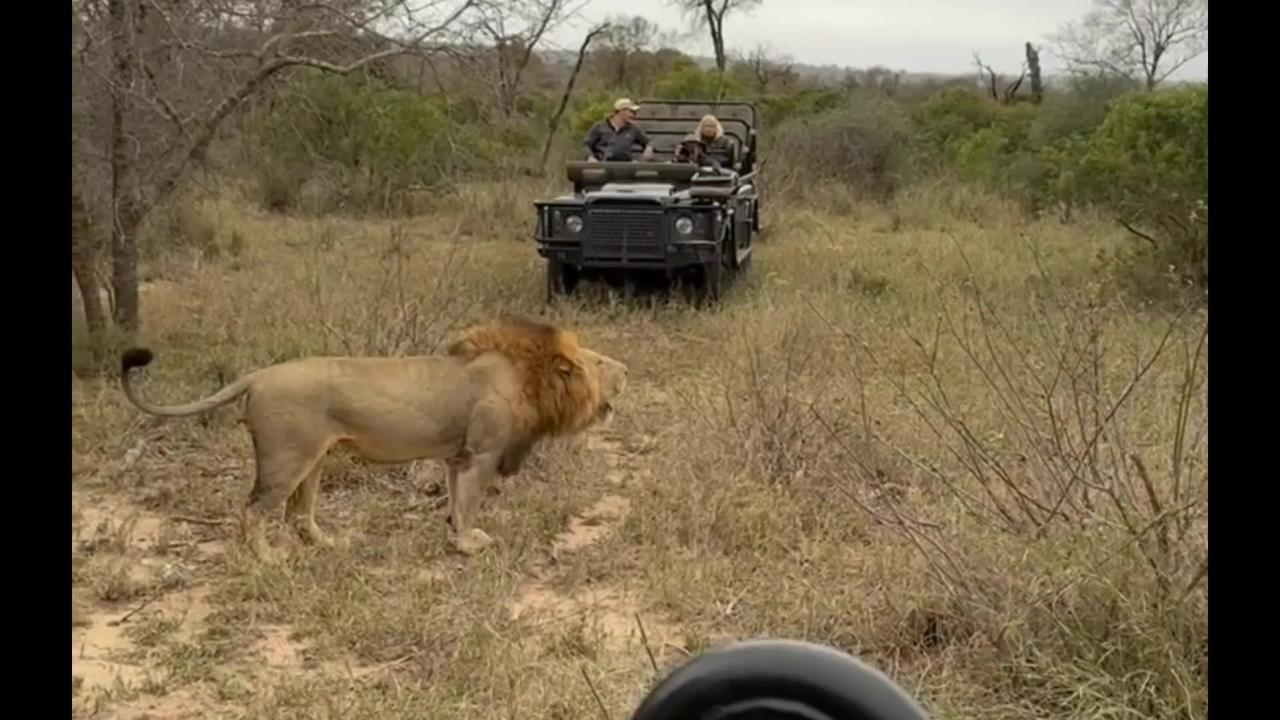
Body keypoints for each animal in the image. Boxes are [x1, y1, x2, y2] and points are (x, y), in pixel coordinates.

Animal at [119, 318, 628, 560]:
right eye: (600, 363)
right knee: (252, 512)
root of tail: (257, 375)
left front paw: (453, 533)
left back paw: (327, 545)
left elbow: (453, 498)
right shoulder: (480, 455)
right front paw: (469, 543)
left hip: (314, 460)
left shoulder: (456, 458)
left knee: (298, 515)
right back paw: (267, 559)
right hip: (286, 460)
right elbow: (469, 504)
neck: (526, 379)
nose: (627, 370)